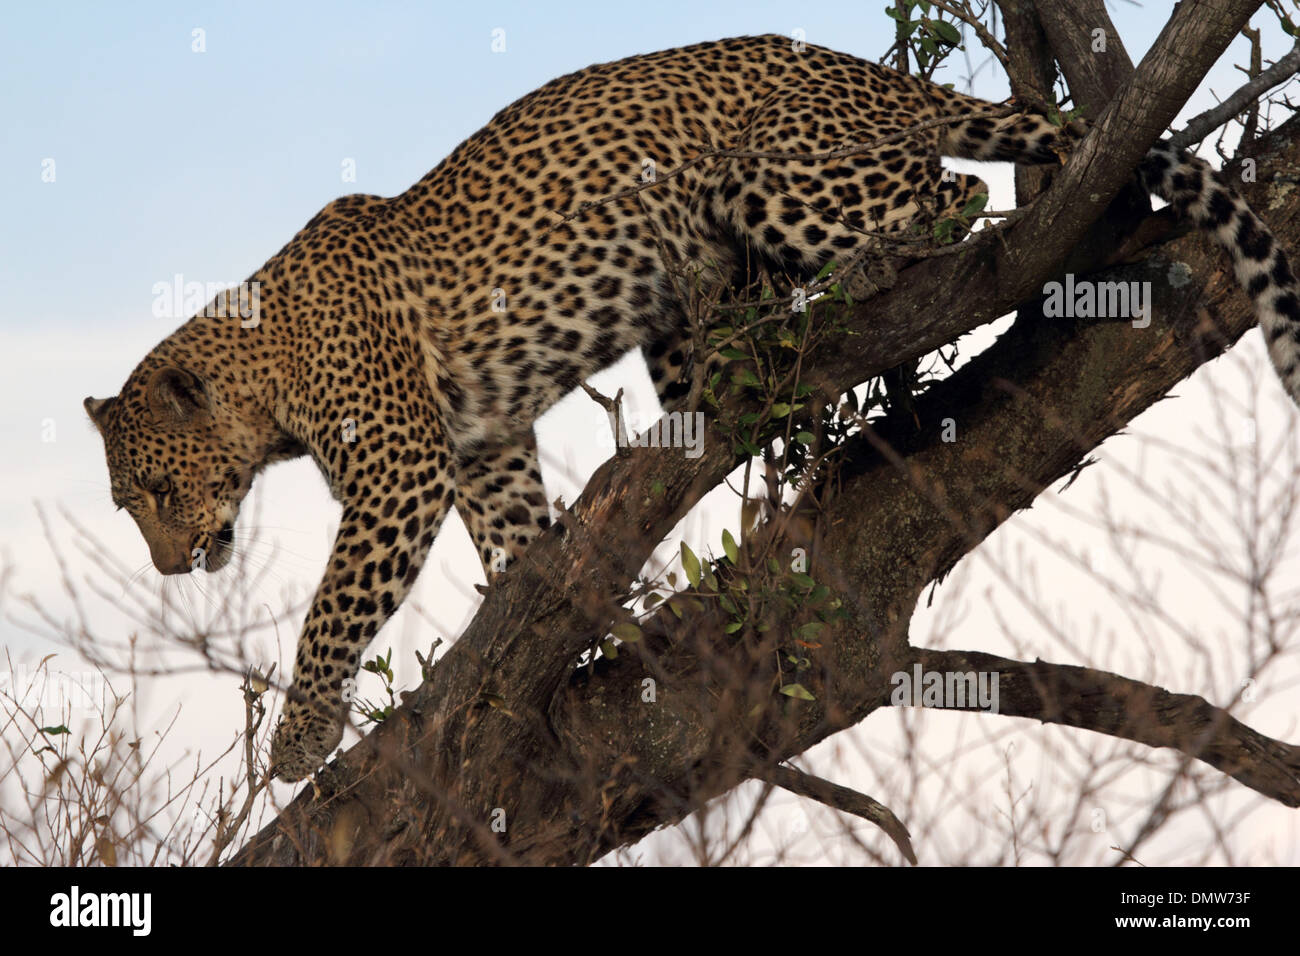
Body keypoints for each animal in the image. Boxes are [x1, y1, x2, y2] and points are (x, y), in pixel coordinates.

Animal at [84, 35, 1300, 782]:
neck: (266, 374)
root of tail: (870, 73)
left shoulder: (398, 467)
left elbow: (334, 606)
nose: (166, 566)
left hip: (760, 176)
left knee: (946, 187)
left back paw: (874, 268)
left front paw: (299, 737)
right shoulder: (480, 446)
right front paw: (556, 629)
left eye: (157, 491)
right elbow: (520, 540)